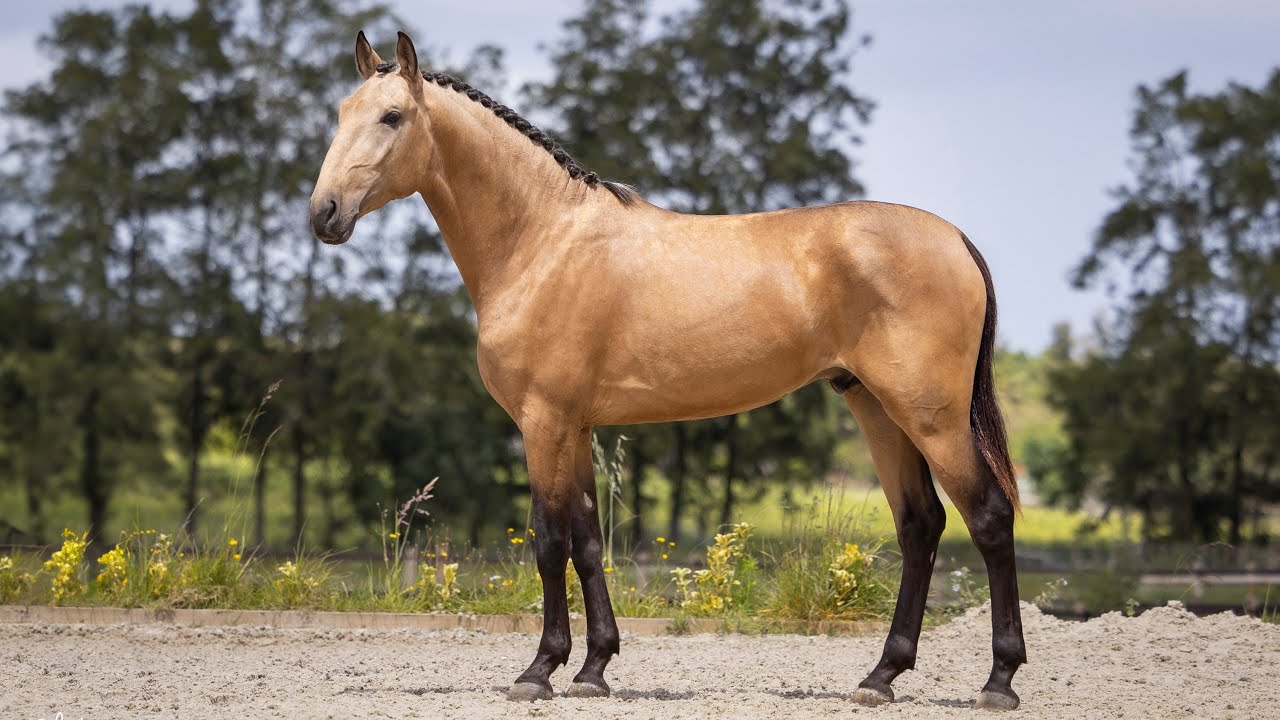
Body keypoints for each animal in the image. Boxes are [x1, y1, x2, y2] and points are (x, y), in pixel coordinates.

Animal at [310, 31, 1026, 711]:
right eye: (342, 111)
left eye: (393, 117)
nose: (324, 213)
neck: (542, 241)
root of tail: (954, 238)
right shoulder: (576, 427)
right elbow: (587, 541)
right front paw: (594, 669)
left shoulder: (544, 422)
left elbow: (548, 540)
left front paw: (539, 671)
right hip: (877, 408)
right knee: (920, 526)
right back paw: (881, 677)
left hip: (930, 416)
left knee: (989, 517)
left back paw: (999, 681)